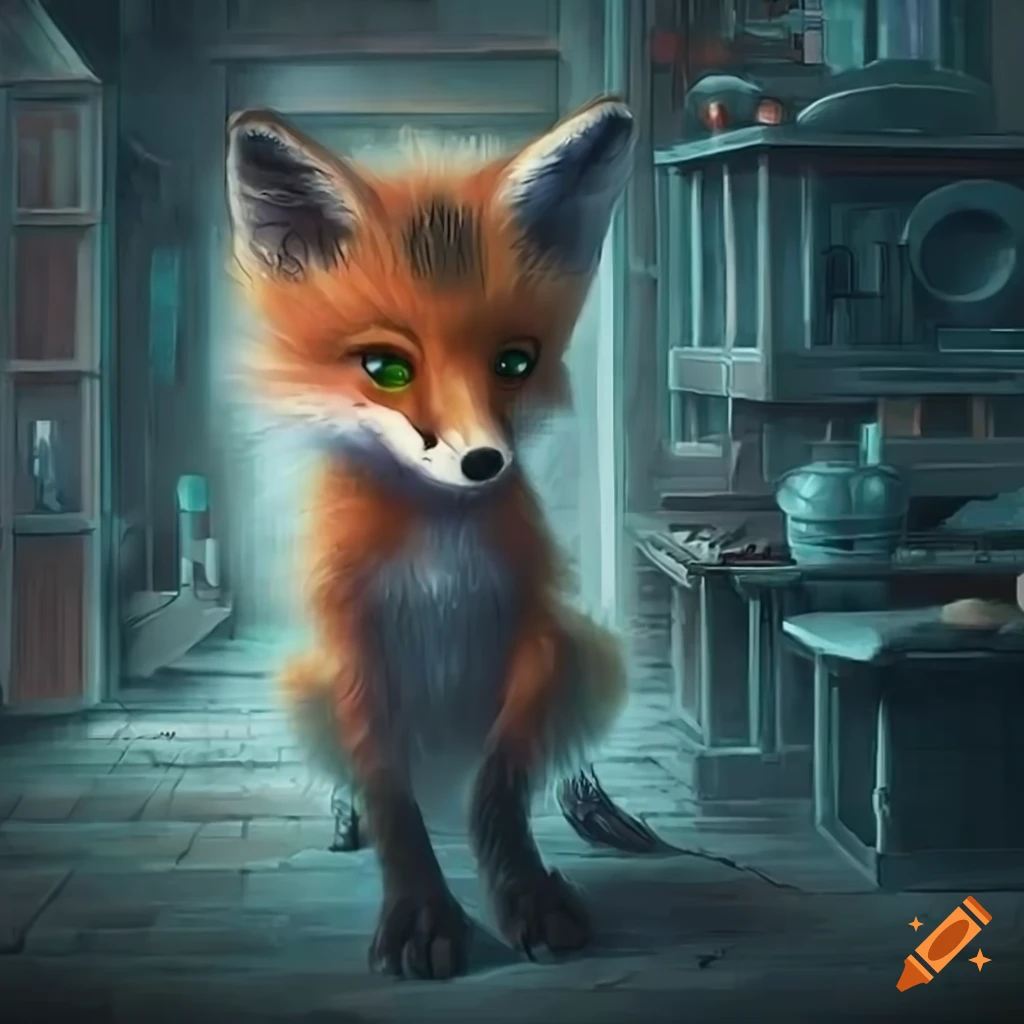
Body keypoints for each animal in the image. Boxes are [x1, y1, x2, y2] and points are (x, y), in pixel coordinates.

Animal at [225, 96, 638, 981]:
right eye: (386, 368)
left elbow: (500, 786)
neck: (438, 555)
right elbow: (391, 798)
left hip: (595, 658)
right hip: (304, 685)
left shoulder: (543, 637)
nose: (484, 461)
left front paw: (524, 892)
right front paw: (420, 911)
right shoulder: (351, 648)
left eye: (514, 362)